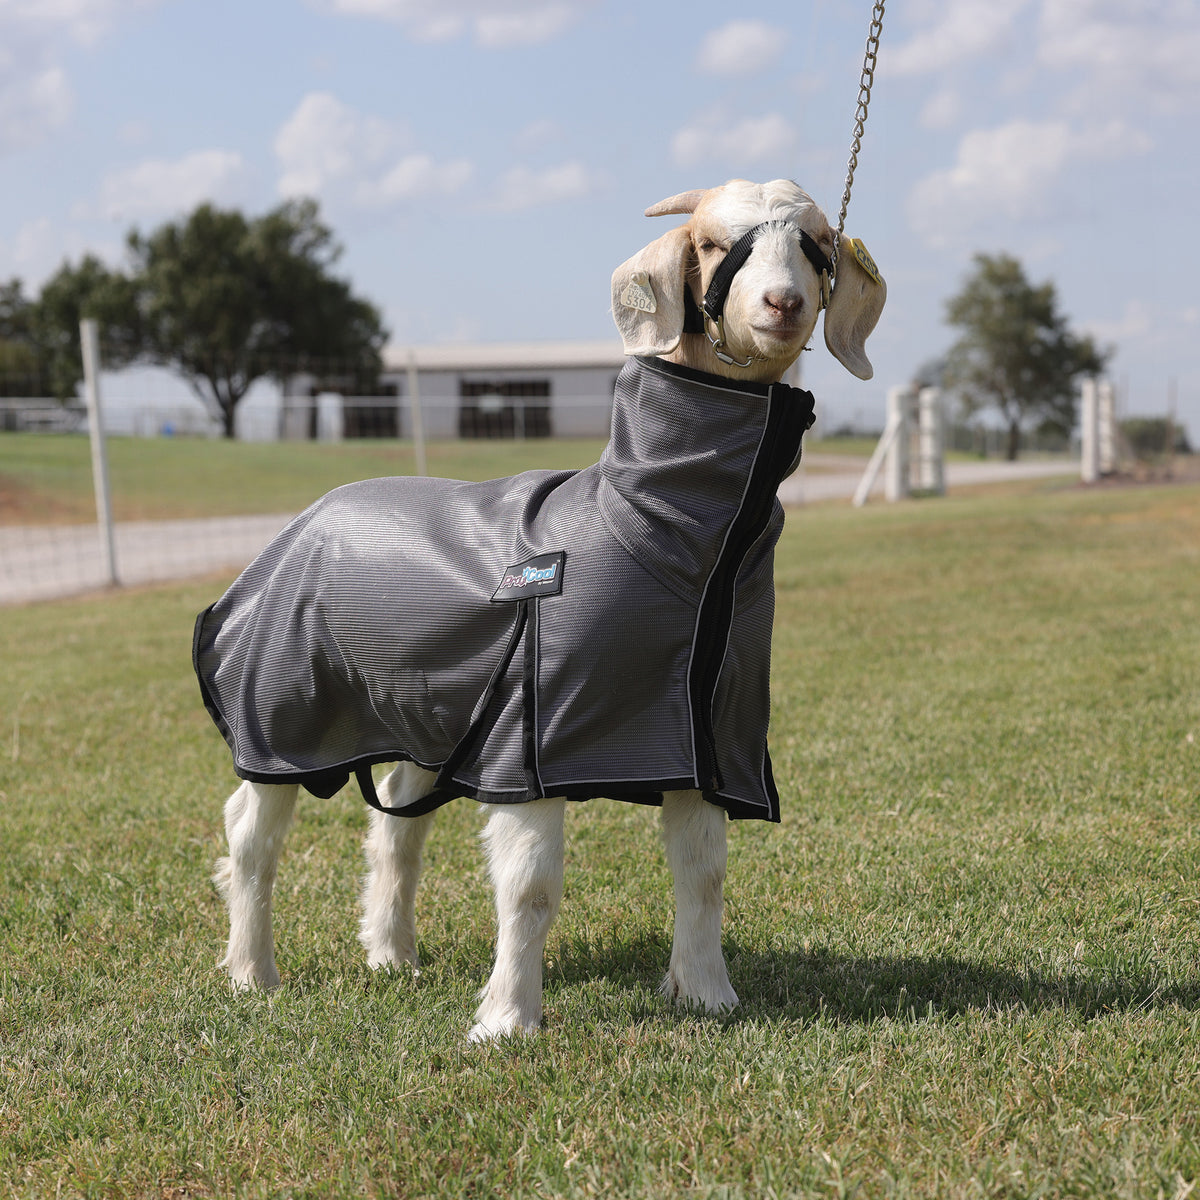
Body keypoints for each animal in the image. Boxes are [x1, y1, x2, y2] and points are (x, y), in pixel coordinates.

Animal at [199, 178, 885, 1041]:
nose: (783, 303)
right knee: (251, 834)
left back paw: (391, 952)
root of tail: (314, 513)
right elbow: (529, 888)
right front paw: (506, 1020)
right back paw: (251, 971)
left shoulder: (705, 735)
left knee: (395, 823)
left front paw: (708, 995)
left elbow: (703, 875)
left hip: (424, 707)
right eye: (709, 245)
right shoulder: (530, 739)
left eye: (816, 246)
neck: (666, 534)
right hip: (283, 707)